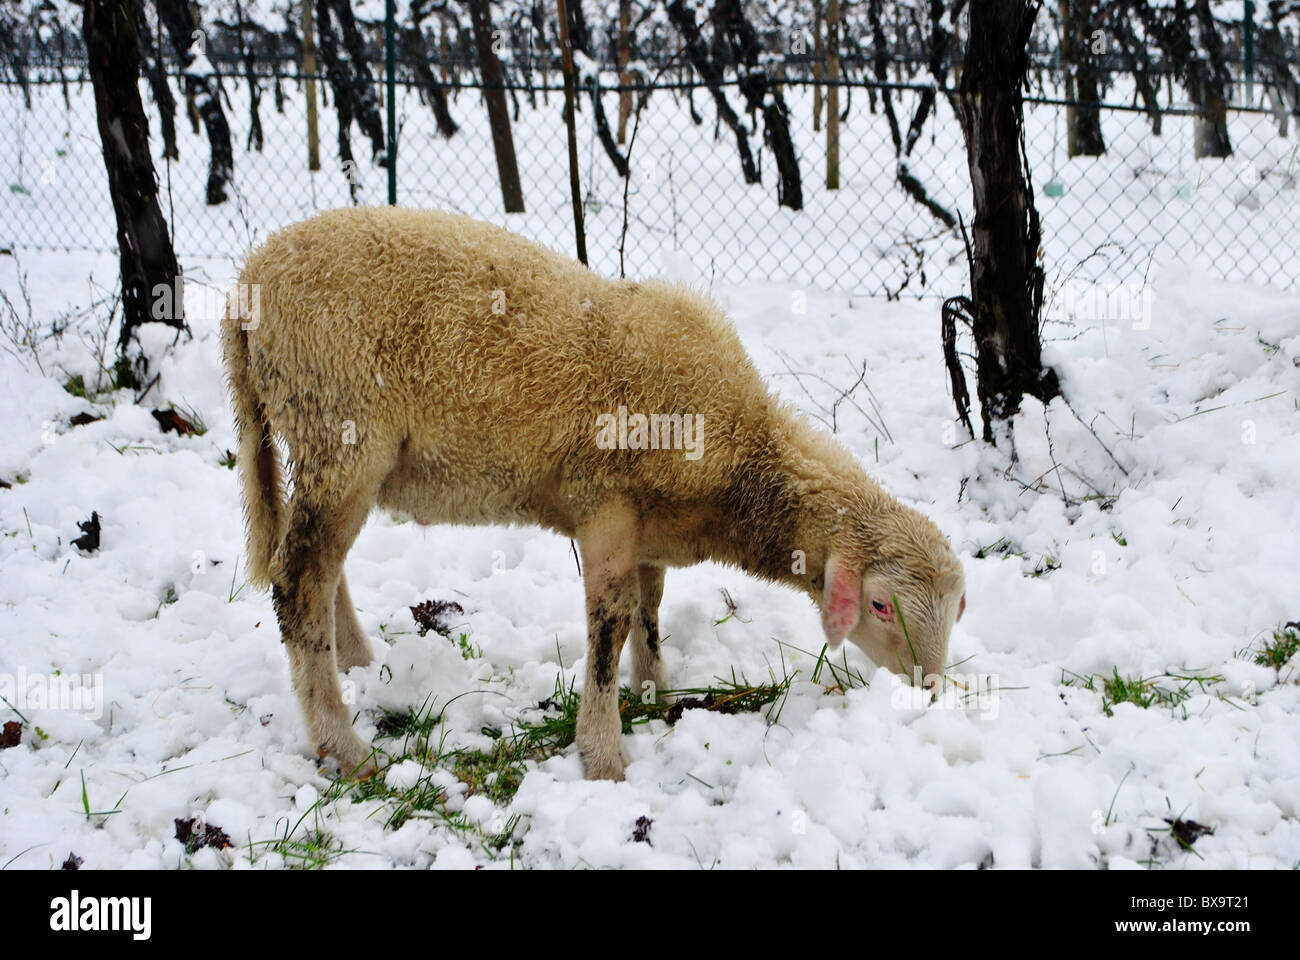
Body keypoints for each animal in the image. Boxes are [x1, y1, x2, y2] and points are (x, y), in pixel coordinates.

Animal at [221, 206, 966, 782]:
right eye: (879, 604)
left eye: (957, 609)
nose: (930, 693)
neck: (741, 455)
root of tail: (248, 282)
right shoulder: (605, 506)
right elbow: (610, 620)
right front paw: (605, 755)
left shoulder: (651, 526)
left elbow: (650, 609)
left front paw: (657, 689)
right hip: (338, 424)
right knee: (298, 581)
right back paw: (345, 746)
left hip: (332, 451)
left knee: (321, 567)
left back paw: (358, 660)